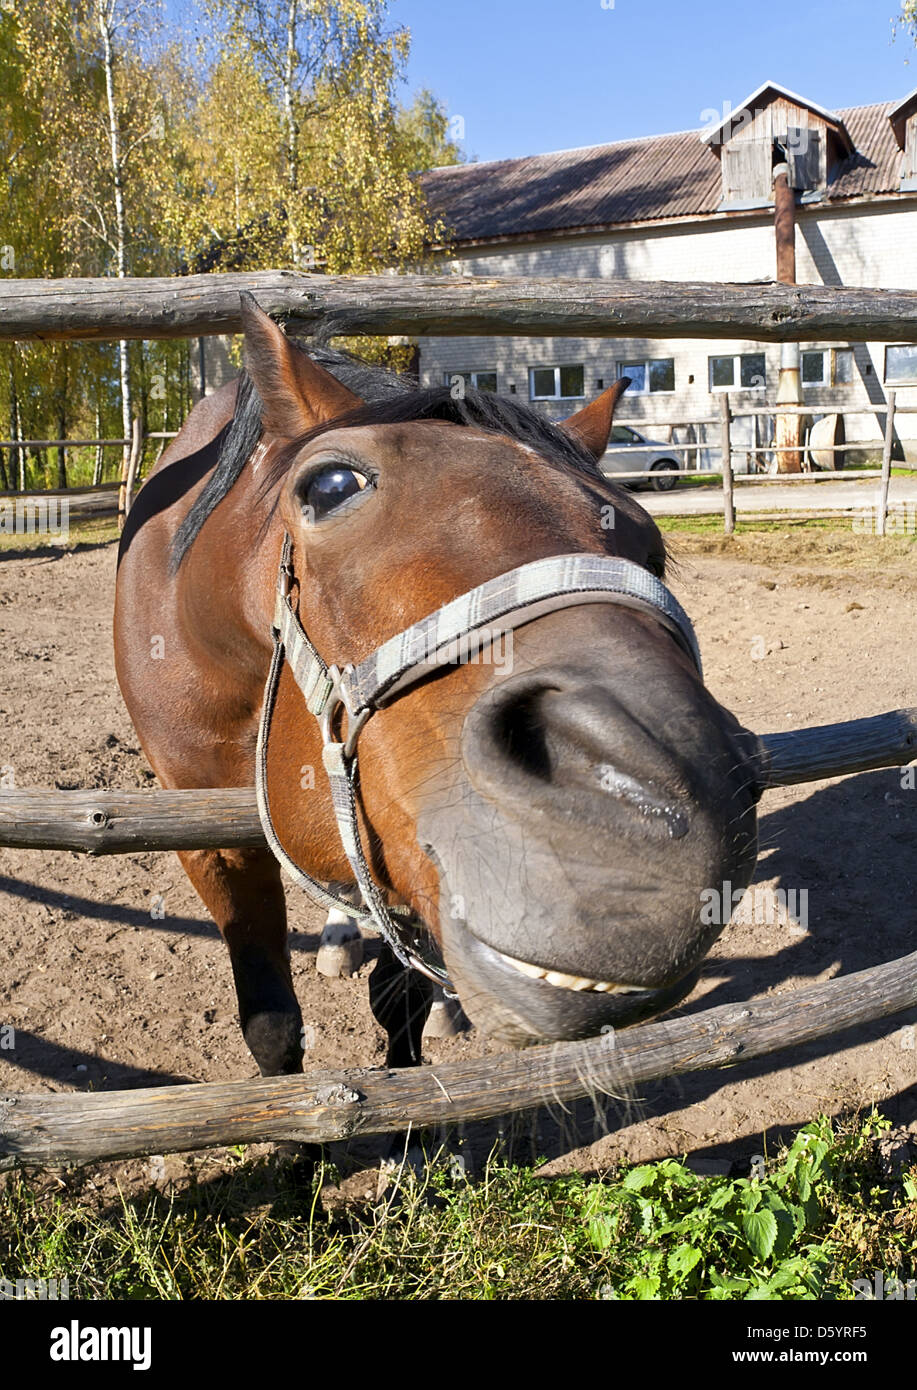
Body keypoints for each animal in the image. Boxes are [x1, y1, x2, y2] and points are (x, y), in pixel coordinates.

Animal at [114, 293, 761, 1077]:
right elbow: (270, 1022)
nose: (661, 810)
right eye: (328, 488)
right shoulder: (209, 839)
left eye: (648, 542)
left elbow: (401, 1002)